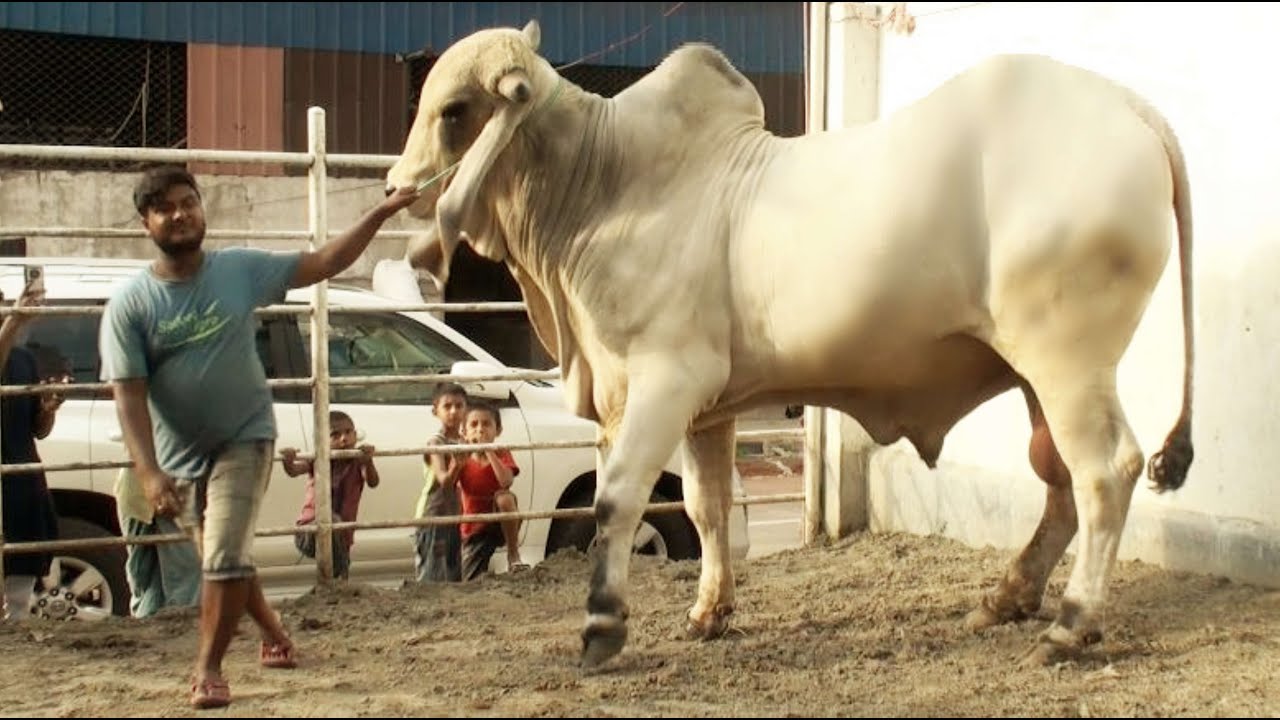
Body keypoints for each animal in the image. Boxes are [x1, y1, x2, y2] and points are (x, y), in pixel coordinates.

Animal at [384, 20, 1194, 669]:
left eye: (454, 112)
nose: (394, 187)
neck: (603, 187)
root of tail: (1133, 108)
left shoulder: (665, 381)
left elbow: (617, 502)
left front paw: (603, 627)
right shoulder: (708, 409)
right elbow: (706, 509)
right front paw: (708, 613)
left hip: (1069, 361)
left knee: (1104, 473)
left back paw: (1071, 625)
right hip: (1034, 375)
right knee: (1058, 482)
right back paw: (1006, 599)